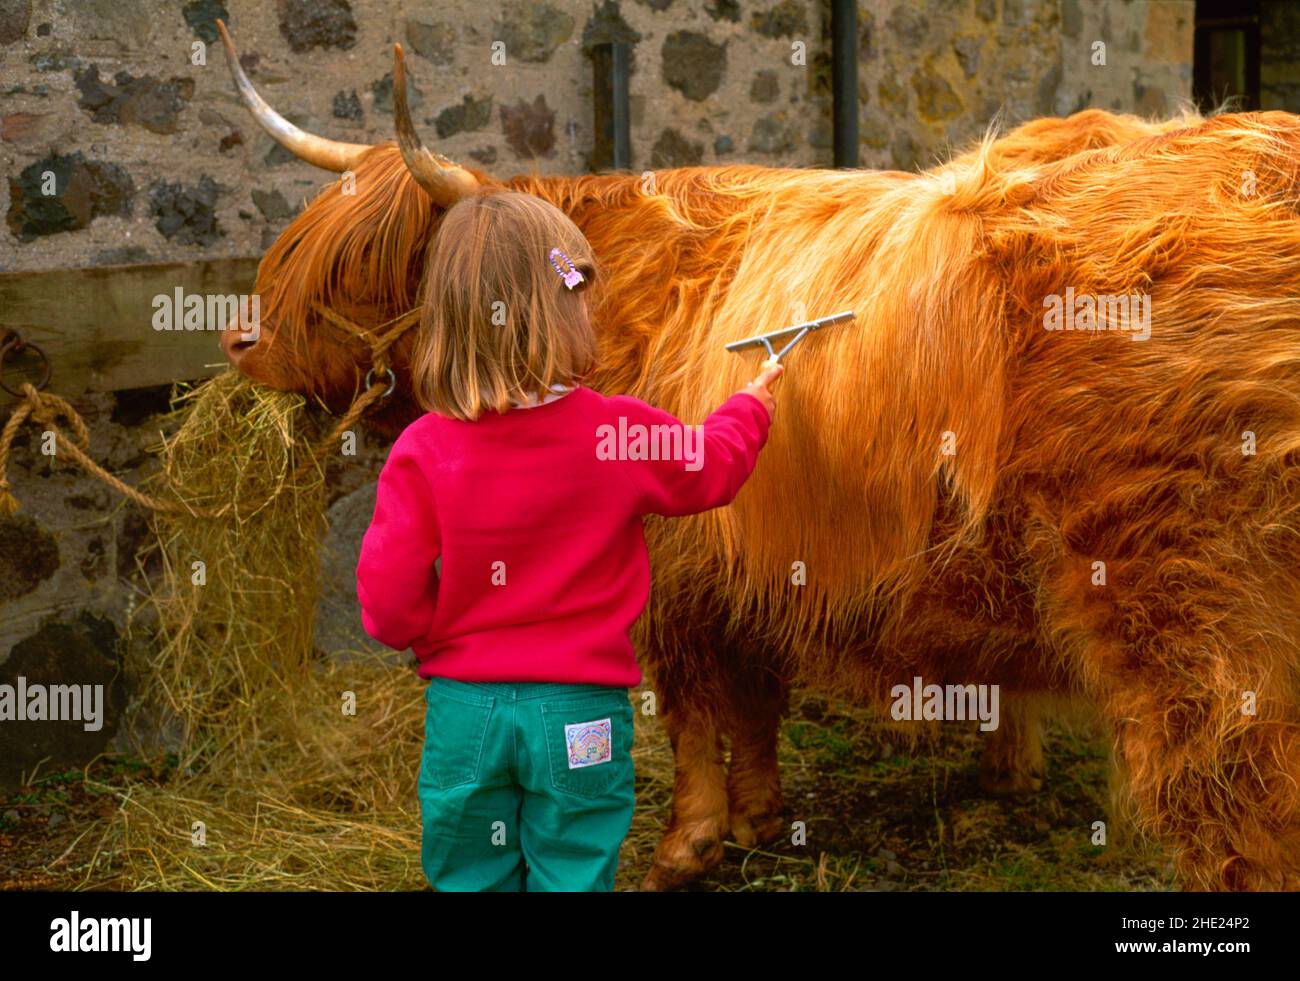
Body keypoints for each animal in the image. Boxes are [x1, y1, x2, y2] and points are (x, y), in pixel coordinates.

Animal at [214, 25, 1300, 890]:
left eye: (358, 262)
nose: (240, 339)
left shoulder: (666, 568)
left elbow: (694, 710)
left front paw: (687, 845)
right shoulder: (747, 566)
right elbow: (754, 703)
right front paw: (759, 816)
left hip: (1200, 628)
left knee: (1243, 805)